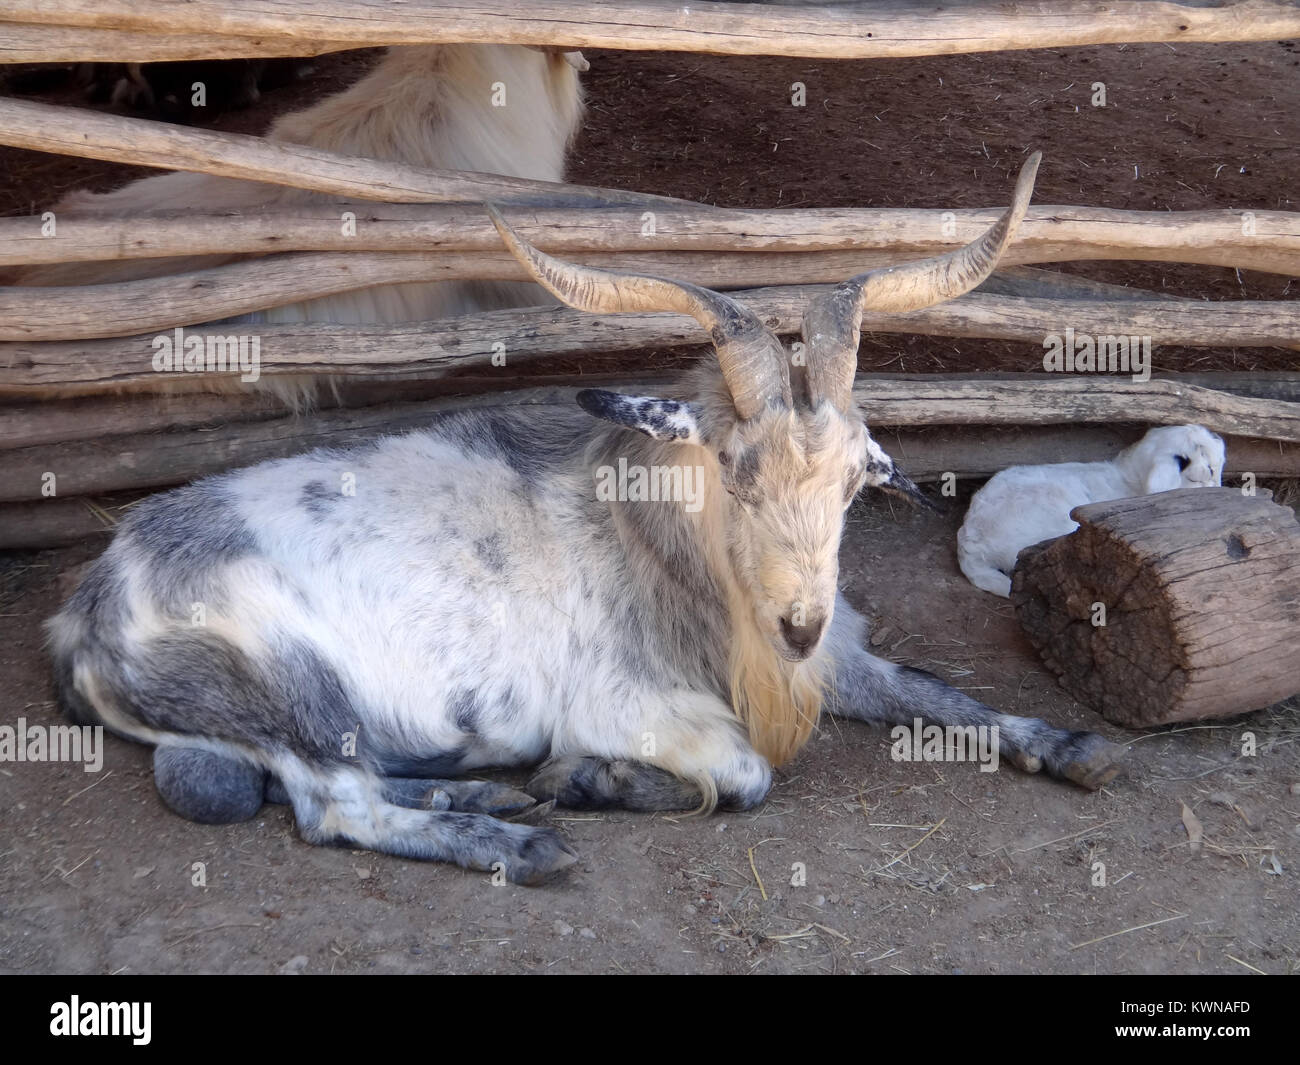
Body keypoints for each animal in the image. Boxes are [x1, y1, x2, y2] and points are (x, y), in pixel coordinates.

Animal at [47, 153, 1125, 884]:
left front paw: (1072, 745)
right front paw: (591, 781)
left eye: (858, 476)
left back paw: (481, 789)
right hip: (282, 686)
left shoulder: (839, 658)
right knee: (332, 804)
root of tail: (86, 613)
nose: (797, 623)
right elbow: (745, 775)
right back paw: (518, 837)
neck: (657, 544)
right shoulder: (627, 704)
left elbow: (940, 692)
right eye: (731, 471)